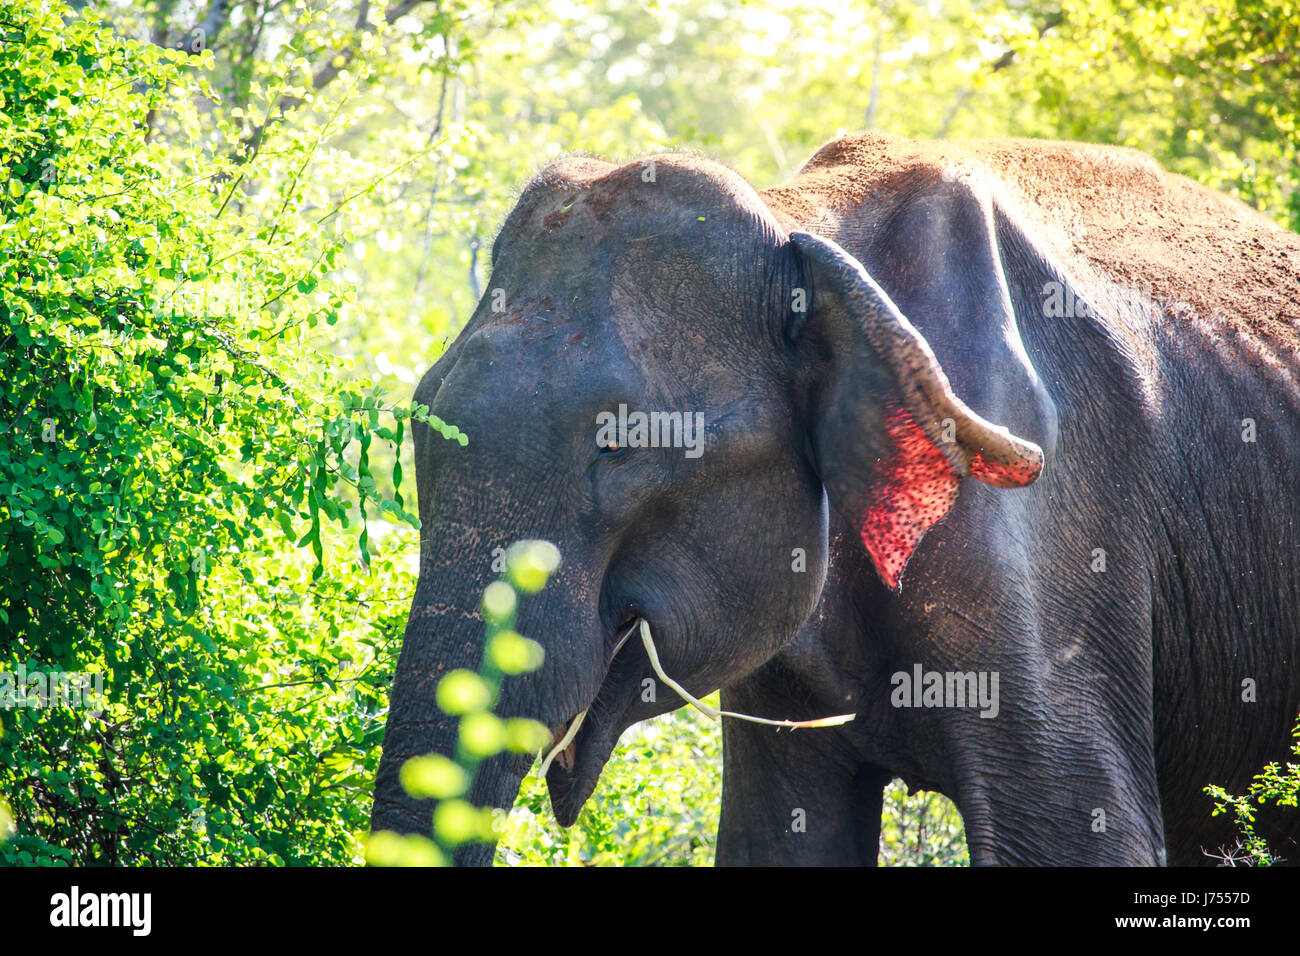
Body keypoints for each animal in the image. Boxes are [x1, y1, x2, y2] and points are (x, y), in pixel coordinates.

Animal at [370, 132, 1300, 866]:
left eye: (621, 445)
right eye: (419, 421)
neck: (802, 230)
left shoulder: (1057, 539)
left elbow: (1082, 835)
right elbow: (781, 840)